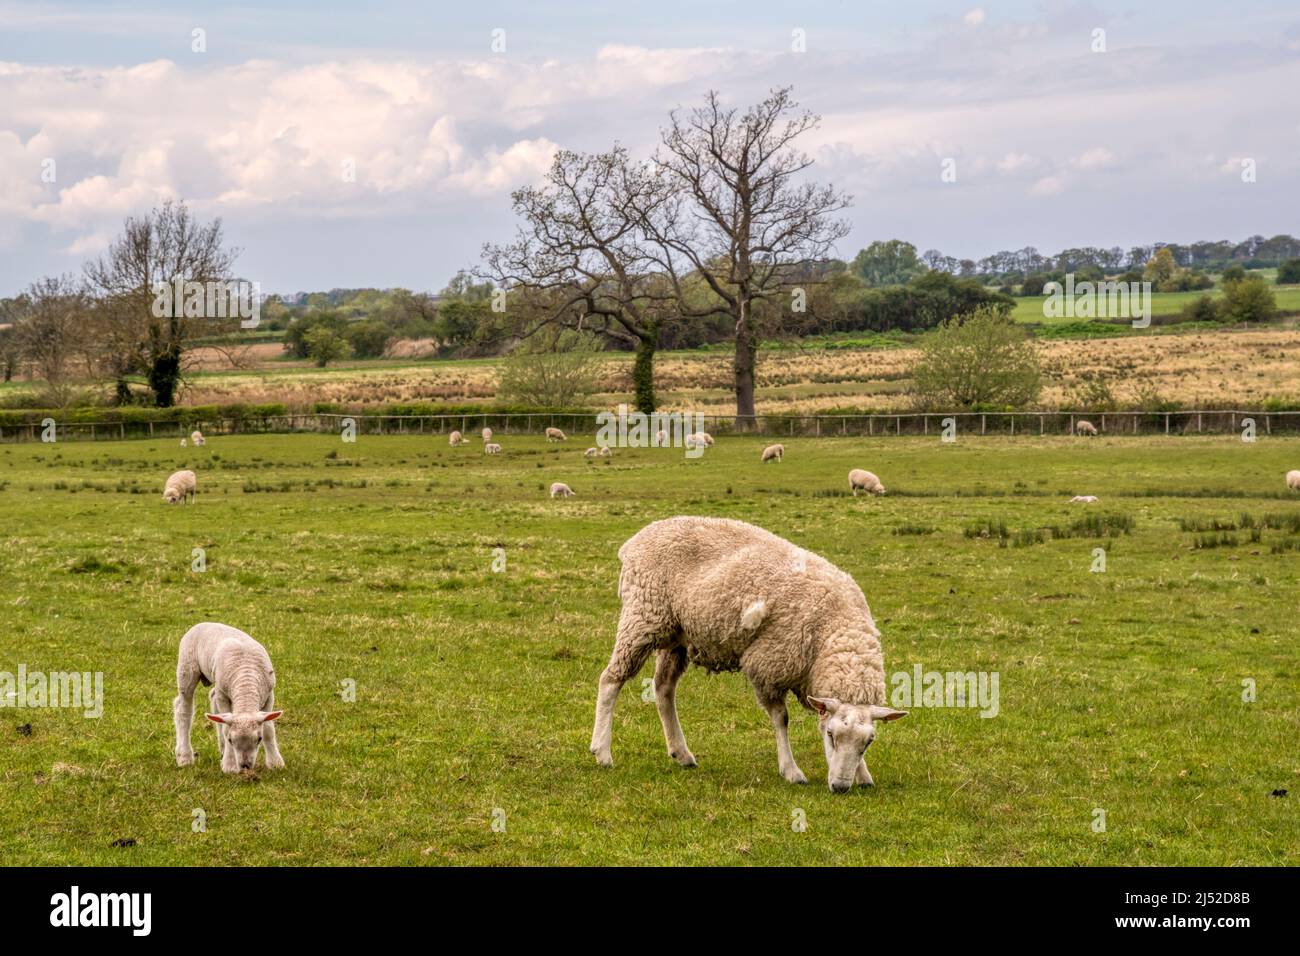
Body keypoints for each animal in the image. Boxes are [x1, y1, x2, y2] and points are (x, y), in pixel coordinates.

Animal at [172, 622, 284, 774]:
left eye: (259, 739)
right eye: (231, 740)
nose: (245, 766)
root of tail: (203, 623)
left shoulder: (269, 695)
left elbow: (268, 729)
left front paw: (275, 763)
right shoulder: (223, 695)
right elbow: (226, 729)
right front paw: (230, 765)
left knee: (213, 699)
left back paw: (221, 749)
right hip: (187, 668)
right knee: (183, 709)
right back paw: (185, 757)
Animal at [591, 517, 907, 792]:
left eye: (868, 742)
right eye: (830, 735)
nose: (840, 787)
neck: (834, 629)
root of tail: (635, 541)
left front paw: (862, 774)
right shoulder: (768, 665)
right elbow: (781, 719)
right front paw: (791, 770)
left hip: (678, 634)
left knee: (663, 689)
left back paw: (681, 752)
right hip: (644, 616)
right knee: (611, 679)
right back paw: (602, 751)